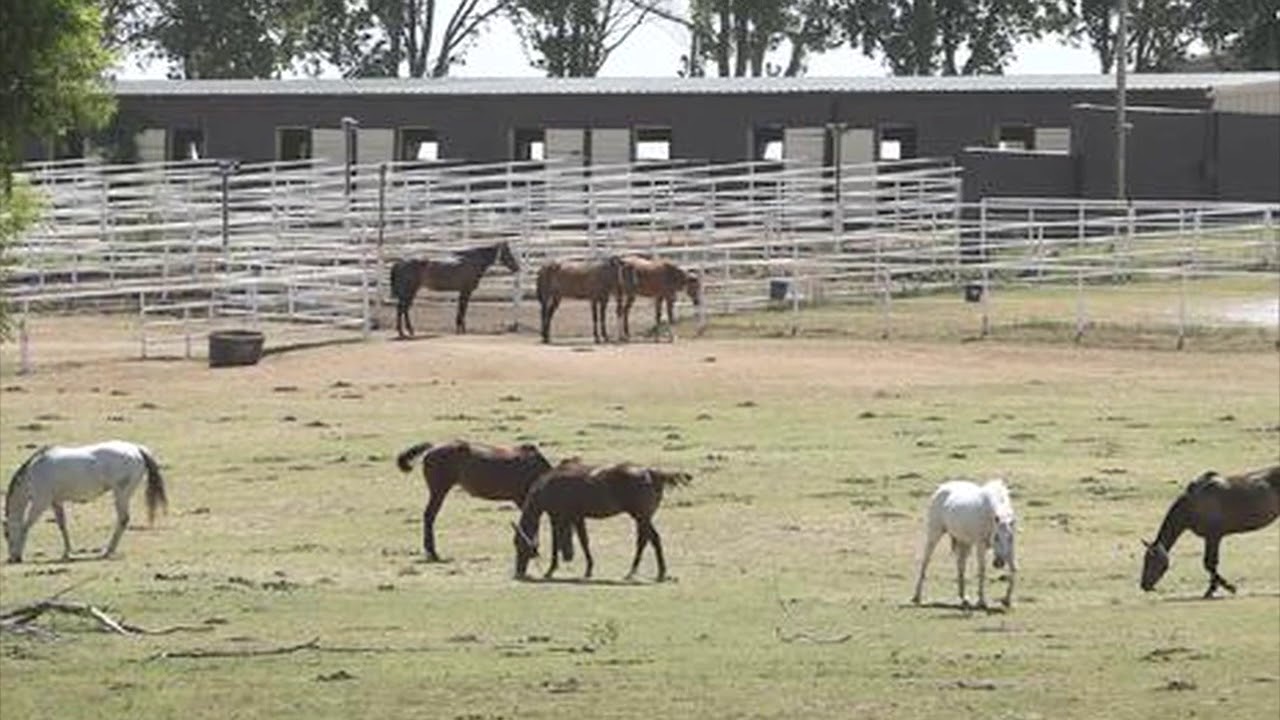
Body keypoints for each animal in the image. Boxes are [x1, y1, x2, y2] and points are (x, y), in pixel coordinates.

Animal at [4, 441, 168, 563]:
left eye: (6, 534)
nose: (12, 558)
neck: (34, 472)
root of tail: (137, 449)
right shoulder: (56, 502)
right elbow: (62, 525)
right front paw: (67, 553)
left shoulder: (41, 502)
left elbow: (25, 526)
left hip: (121, 494)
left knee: (123, 519)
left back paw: (107, 551)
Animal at [389, 241, 520, 338]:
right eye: (507, 252)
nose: (517, 267)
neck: (472, 262)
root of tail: (400, 262)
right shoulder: (466, 291)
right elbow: (463, 309)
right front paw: (461, 329)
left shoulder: (462, 291)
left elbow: (461, 309)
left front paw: (460, 328)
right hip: (410, 291)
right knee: (403, 309)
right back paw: (406, 331)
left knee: (402, 309)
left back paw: (404, 332)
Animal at [512, 460, 691, 581]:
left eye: (519, 544)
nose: (519, 572)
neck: (548, 485)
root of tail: (651, 472)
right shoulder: (577, 517)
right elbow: (584, 541)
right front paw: (588, 570)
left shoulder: (557, 518)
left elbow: (556, 545)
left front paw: (550, 570)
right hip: (643, 518)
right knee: (645, 540)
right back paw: (636, 571)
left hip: (641, 517)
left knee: (653, 539)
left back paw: (655, 572)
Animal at [910, 478, 1017, 609]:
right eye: (996, 537)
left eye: (1010, 538)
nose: (999, 563)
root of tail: (941, 488)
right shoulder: (980, 545)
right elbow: (982, 569)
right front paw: (981, 601)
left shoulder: (1010, 548)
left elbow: (1013, 568)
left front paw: (1007, 600)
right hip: (934, 534)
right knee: (926, 560)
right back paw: (917, 597)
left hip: (963, 541)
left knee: (961, 564)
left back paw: (963, 597)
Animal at [1140, 465, 1280, 598]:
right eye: (1145, 560)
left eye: (1150, 562)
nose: (1144, 585)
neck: (1193, 504)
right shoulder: (1210, 538)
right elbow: (1211, 564)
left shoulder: (1213, 537)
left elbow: (1209, 564)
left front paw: (1224, 588)